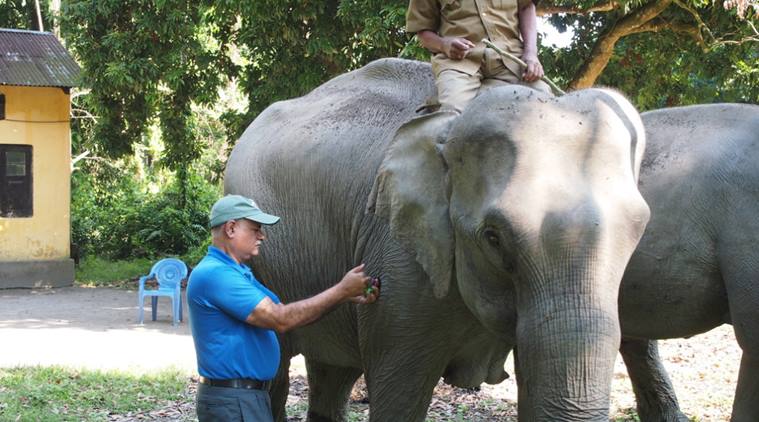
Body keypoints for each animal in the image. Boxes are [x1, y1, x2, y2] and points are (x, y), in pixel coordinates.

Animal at [224, 58, 650, 421]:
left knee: (333, 374)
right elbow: (400, 394)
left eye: (640, 228)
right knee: (272, 373)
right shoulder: (398, 260)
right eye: (493, 237)